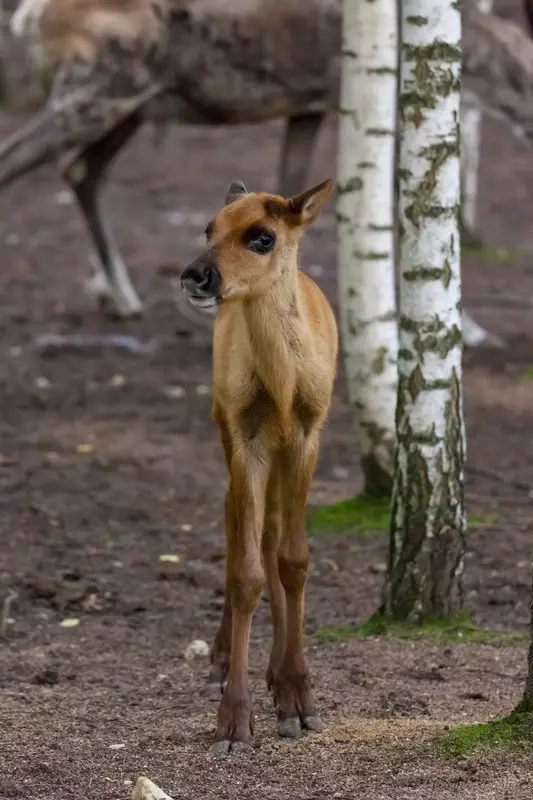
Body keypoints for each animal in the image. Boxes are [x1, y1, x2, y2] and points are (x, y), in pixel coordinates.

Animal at [179, 178, 336, 752]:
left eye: (262, 237)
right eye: (208, 228)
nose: (195, 274)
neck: (284, 388)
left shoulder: (310, 430)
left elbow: (295, 559)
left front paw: (299, 697)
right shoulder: (246, 431)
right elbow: (246, 572)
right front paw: (233, 721)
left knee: (269, 535)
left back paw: (276, 677)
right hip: (225, 423)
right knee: (233, 522)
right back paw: (223, 662)